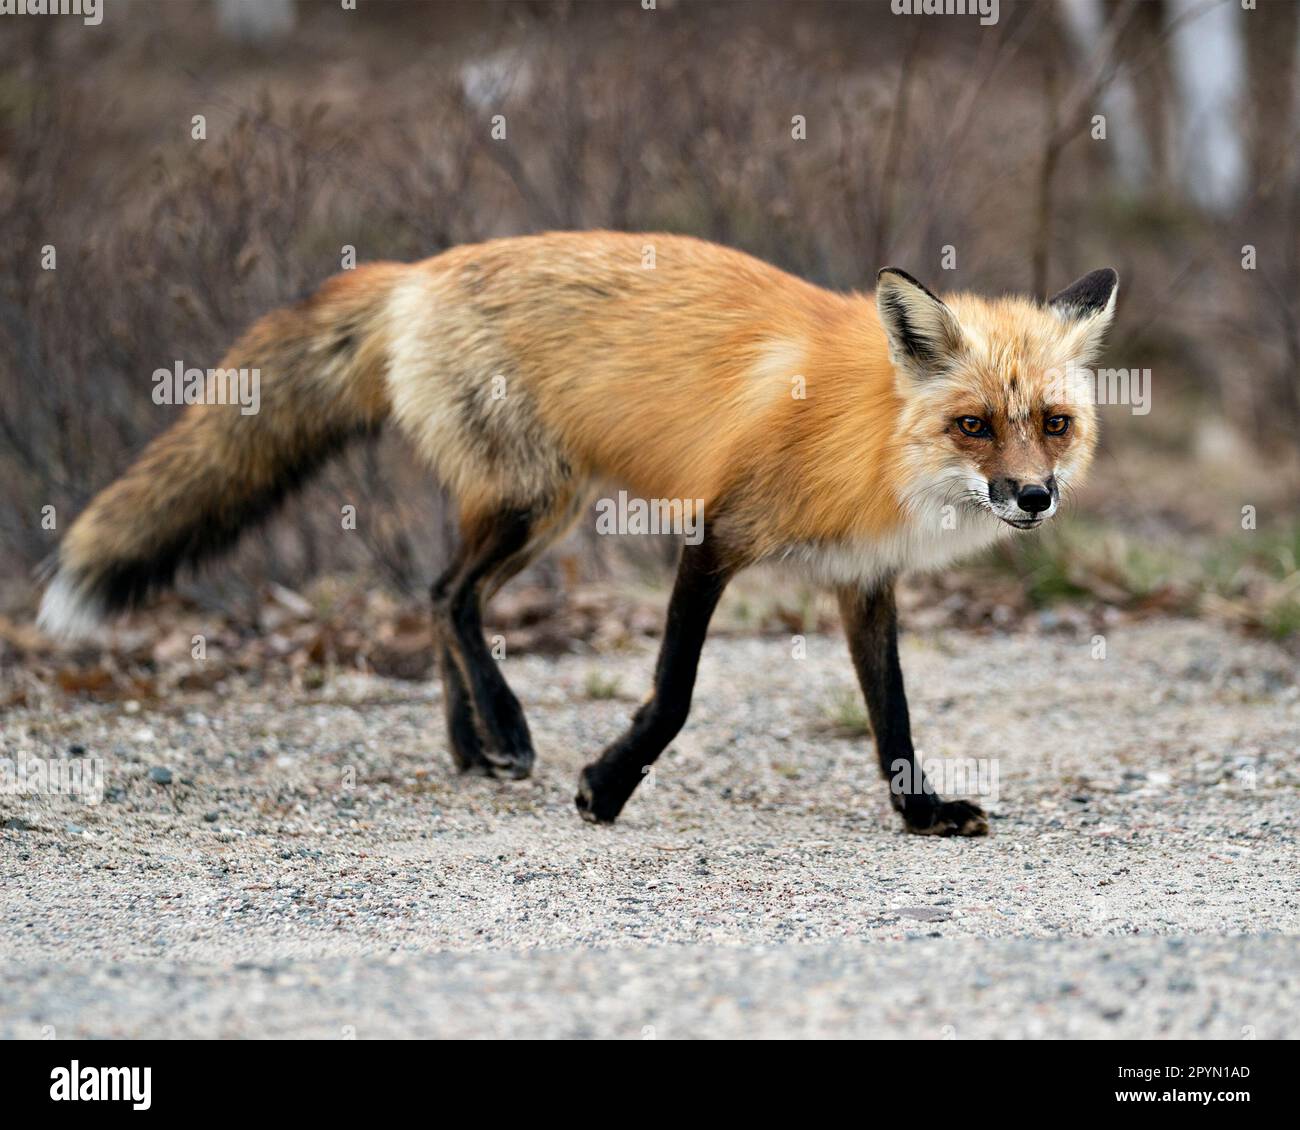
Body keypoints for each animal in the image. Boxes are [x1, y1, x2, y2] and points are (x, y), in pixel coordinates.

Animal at [37, 232, 1118, 836]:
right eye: (973, 423)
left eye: (1052, 423)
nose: (1032, 496)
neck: (869, 438)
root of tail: (417, 272)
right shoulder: (717, 535)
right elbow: (674, 694)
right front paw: (604, 786)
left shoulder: (863, 581)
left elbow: (892, 720)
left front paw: (918, 813)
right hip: (536, 499)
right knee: (451, 595)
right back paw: (506, 728)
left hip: (532, 511)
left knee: (439, 595)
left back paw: (471, 744)